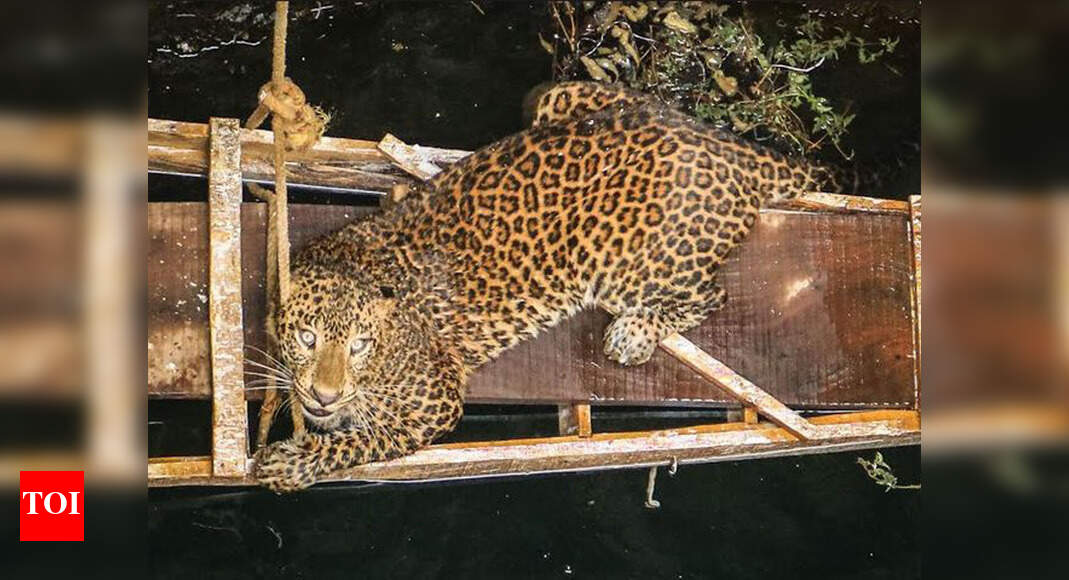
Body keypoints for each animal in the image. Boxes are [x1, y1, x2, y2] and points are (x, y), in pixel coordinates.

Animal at [253, 81, 833, 492]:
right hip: (555, 98)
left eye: (360, 346)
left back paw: (632, 334)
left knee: (709, 294)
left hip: (621, 264)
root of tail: (735, 151)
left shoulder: (435, 403)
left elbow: (360, 440)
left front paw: (290, 464)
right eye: (307, 338)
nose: (324, 395)